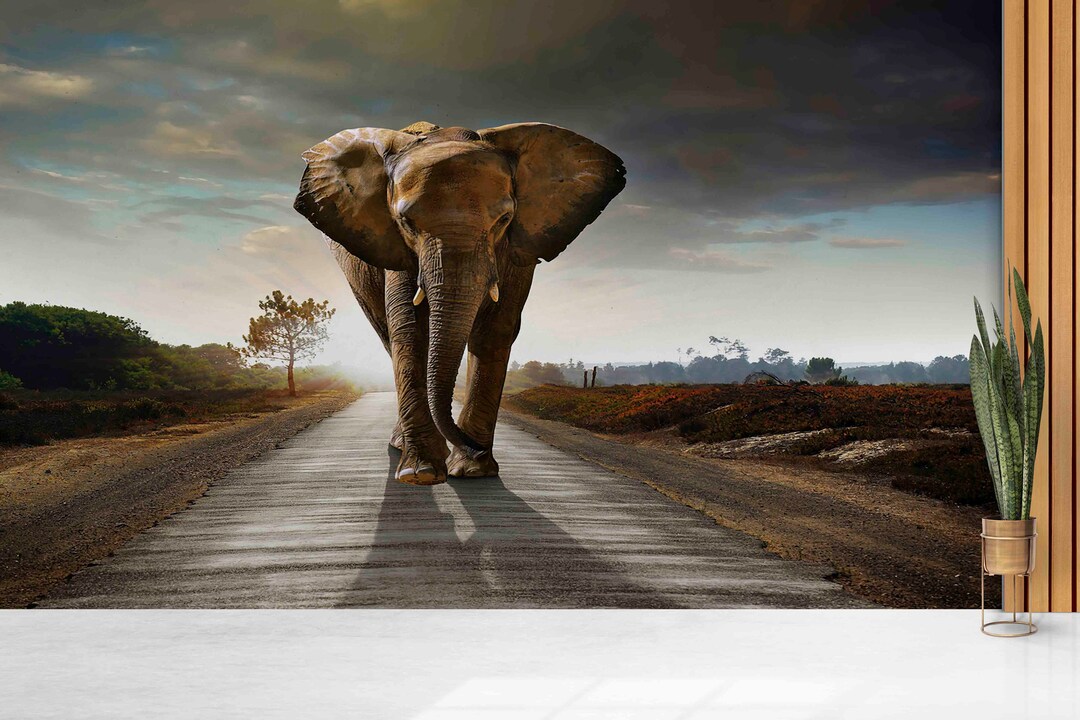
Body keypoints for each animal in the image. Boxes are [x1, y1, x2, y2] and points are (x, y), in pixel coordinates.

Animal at [293, 121, 625, 485]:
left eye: (504, 219)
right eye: (406, 222)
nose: (475, 448)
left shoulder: (516, 250)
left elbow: (496, 329)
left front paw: (472, 470)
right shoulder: (397, 249)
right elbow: (410, 329)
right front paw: (422, 473)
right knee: (387, 334)